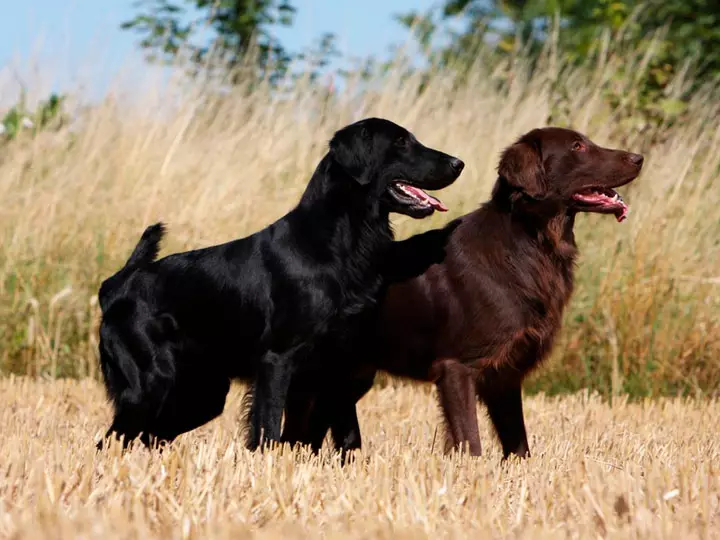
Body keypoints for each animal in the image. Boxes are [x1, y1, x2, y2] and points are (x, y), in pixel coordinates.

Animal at [95, 119, 464, 452]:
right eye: (401, 141)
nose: (458, 163)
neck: (340, 243)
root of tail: (117, 284)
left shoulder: (340, 364)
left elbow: (349, 438)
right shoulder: (277, 359)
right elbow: (269, 429)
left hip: (201, 393)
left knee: (145, 437)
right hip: (150, 386)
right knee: (111, 440)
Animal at [282, 126, 648, 460]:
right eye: (577, 146)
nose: (639, 158)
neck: (530, 242)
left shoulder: (505, 375)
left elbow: (518, 444)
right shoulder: (457, 366)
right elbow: (470, 441)